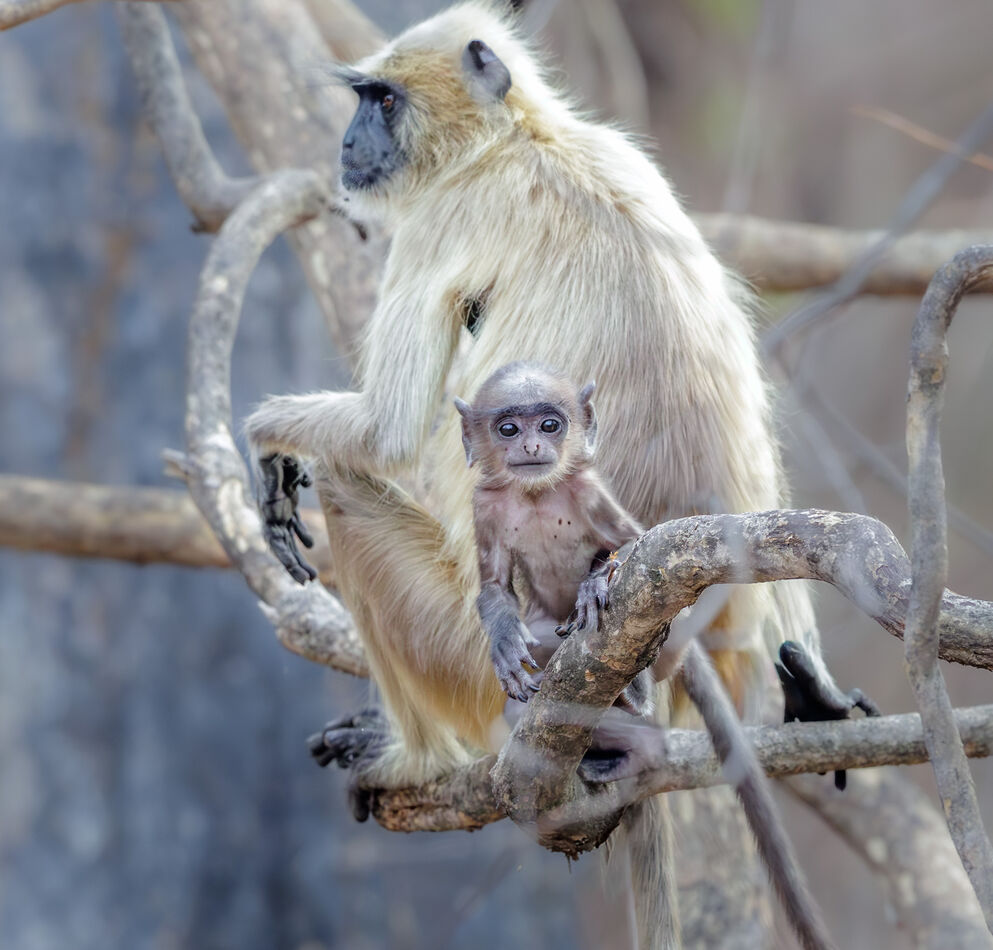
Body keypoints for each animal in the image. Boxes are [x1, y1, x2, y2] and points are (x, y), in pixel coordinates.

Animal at [242, 4, 861, 944]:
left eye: (381, 101)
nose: (349, 141)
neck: (525, 138)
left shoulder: (442, 217)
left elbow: (387, 429)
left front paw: (268, 436)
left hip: (468, 656)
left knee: (351, 489)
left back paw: (410, 758)